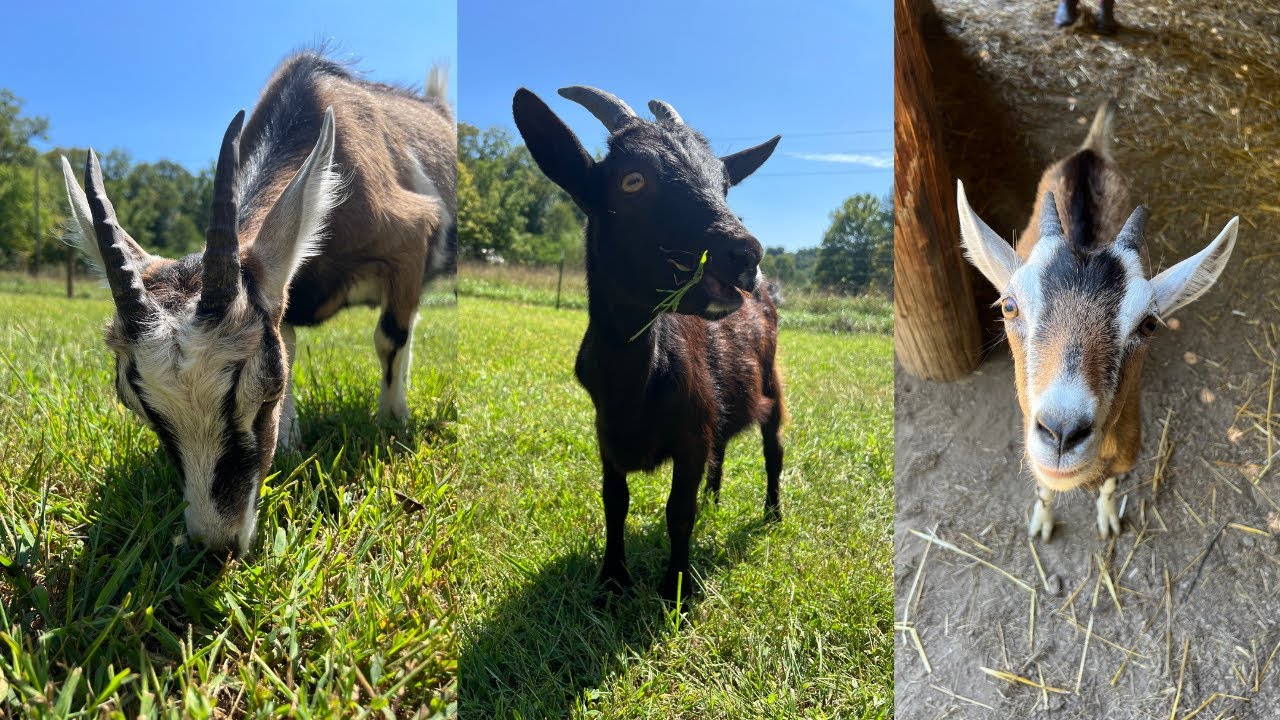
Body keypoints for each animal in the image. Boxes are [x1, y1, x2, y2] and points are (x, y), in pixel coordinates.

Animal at [60, 51, 456, 556]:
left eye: (265, 391)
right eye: (139, 406)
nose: (217, 543)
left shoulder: (409, 243)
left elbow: (390, 337)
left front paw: (391, 422)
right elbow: (292, 344)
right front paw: (290, 446)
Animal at [512, 85, 784, 601]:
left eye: (723, 184)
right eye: (632, 180)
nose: (745, 254)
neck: (633, 381)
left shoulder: (692, 431)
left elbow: (679, 511)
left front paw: (677, 590)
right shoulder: (605, 432)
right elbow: (614, 500)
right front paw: (612, 581)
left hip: (773, 382)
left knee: (773, 449)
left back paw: (773, 516)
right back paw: (716, 501)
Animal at [957, 101, 1237, 542]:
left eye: (1148, 323)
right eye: (1009, 306)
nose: (1061, 433)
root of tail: (1090, 151)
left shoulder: (1127, 455)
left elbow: (1108, 486)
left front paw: (1107, 521)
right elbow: (1044, 485)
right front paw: (1042, 523)